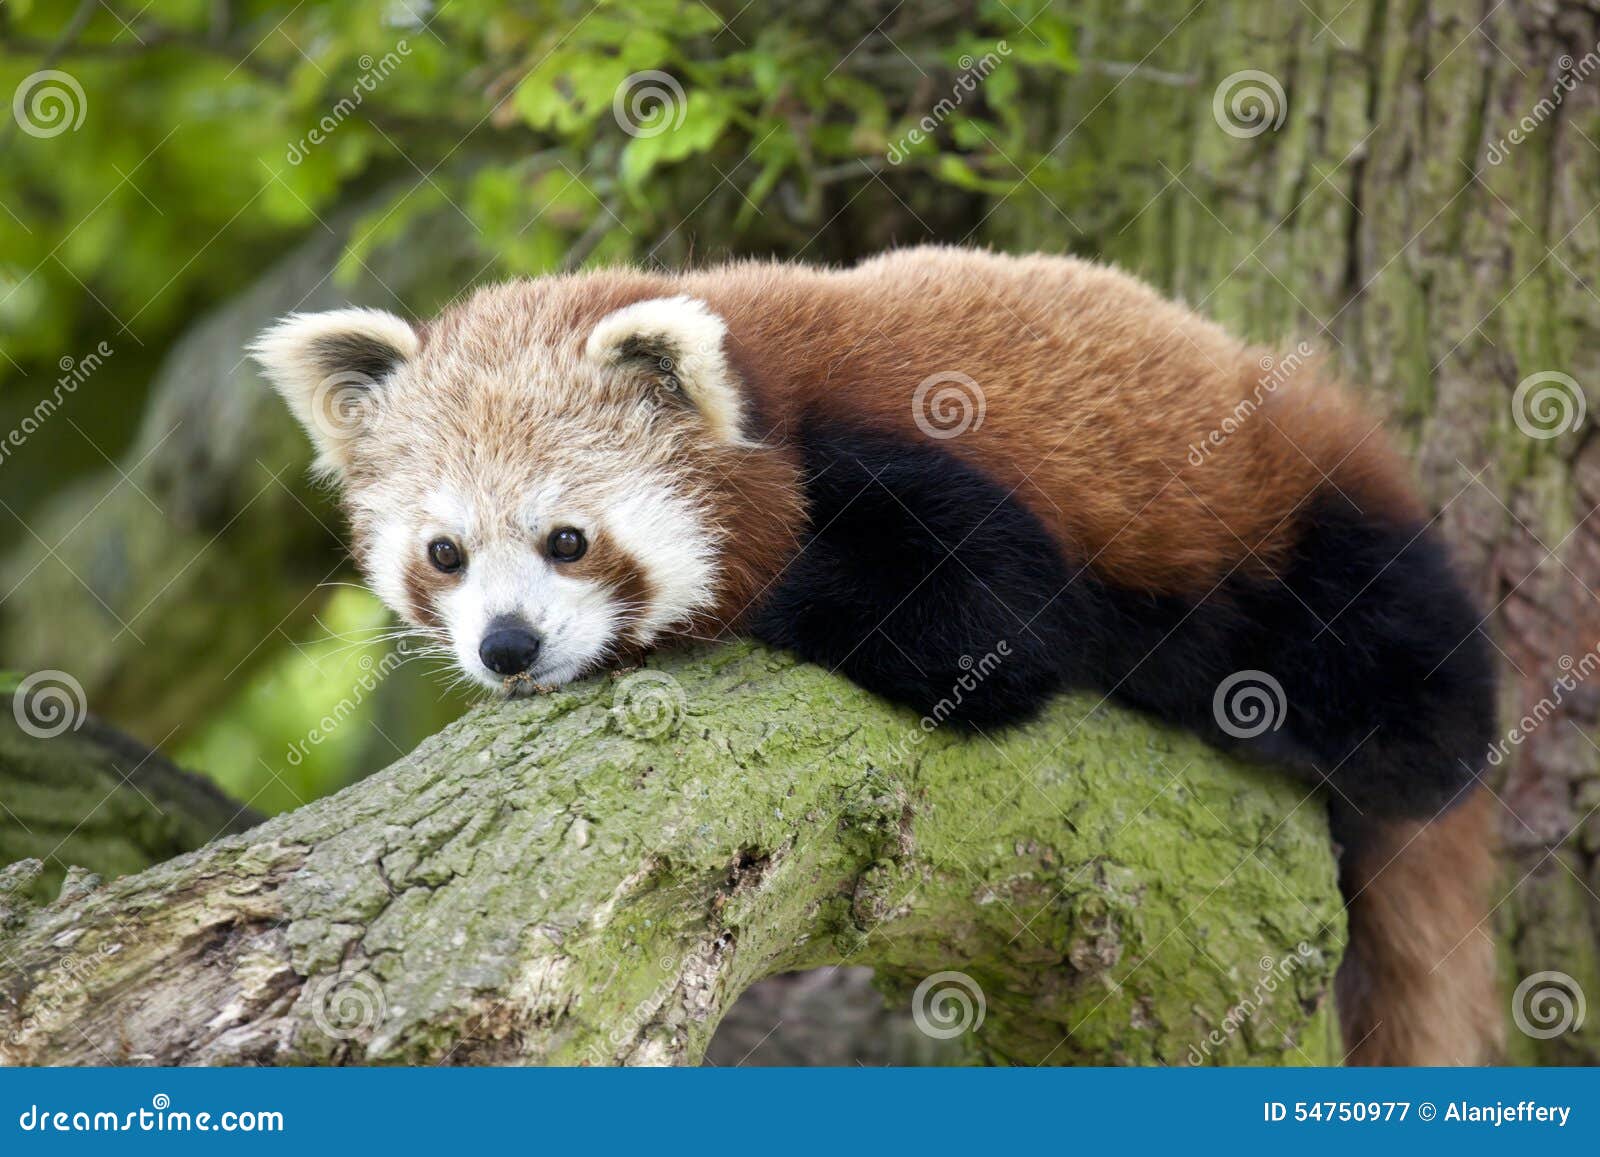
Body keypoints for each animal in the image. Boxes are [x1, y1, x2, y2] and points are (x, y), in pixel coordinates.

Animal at [252, 245, 1501, 1065]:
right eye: (445, 553)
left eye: (568, 539)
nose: (508, 646)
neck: (767, 387)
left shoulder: (910, 455)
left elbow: (983, 632)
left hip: (1308, 522)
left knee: (1418, 692)